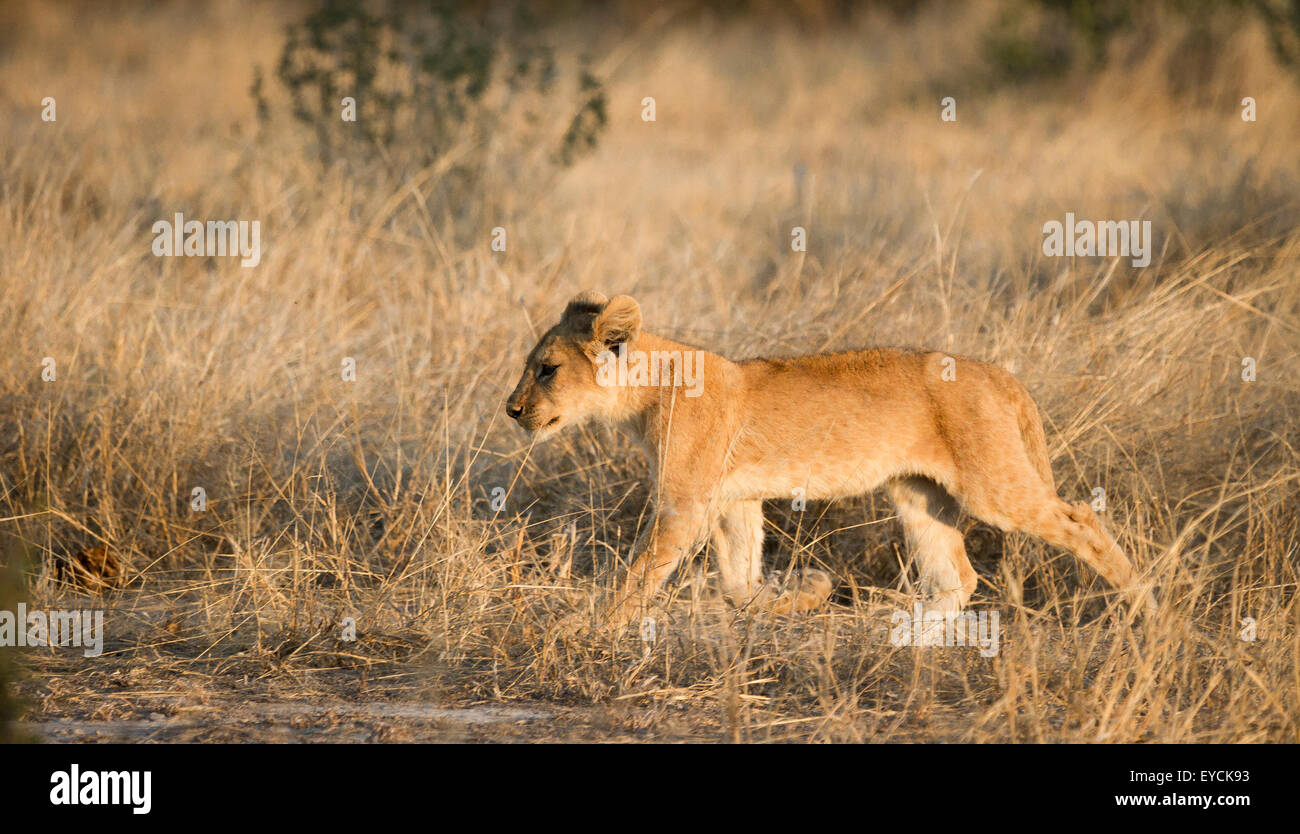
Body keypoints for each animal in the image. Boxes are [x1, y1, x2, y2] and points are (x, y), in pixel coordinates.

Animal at [506, 291, 1155, 632]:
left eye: (547, 370)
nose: (511, 410)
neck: (647, 389)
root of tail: (998, 372)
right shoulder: (735, 499)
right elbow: (737, 581)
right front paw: (806, 593)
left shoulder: (684, 504)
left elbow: (639, 574)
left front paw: (591, 628)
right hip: (918, 494)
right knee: (959, 576)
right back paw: (910, 632)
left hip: (993, 488)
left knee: (1082, 521)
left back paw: (1146, 608)